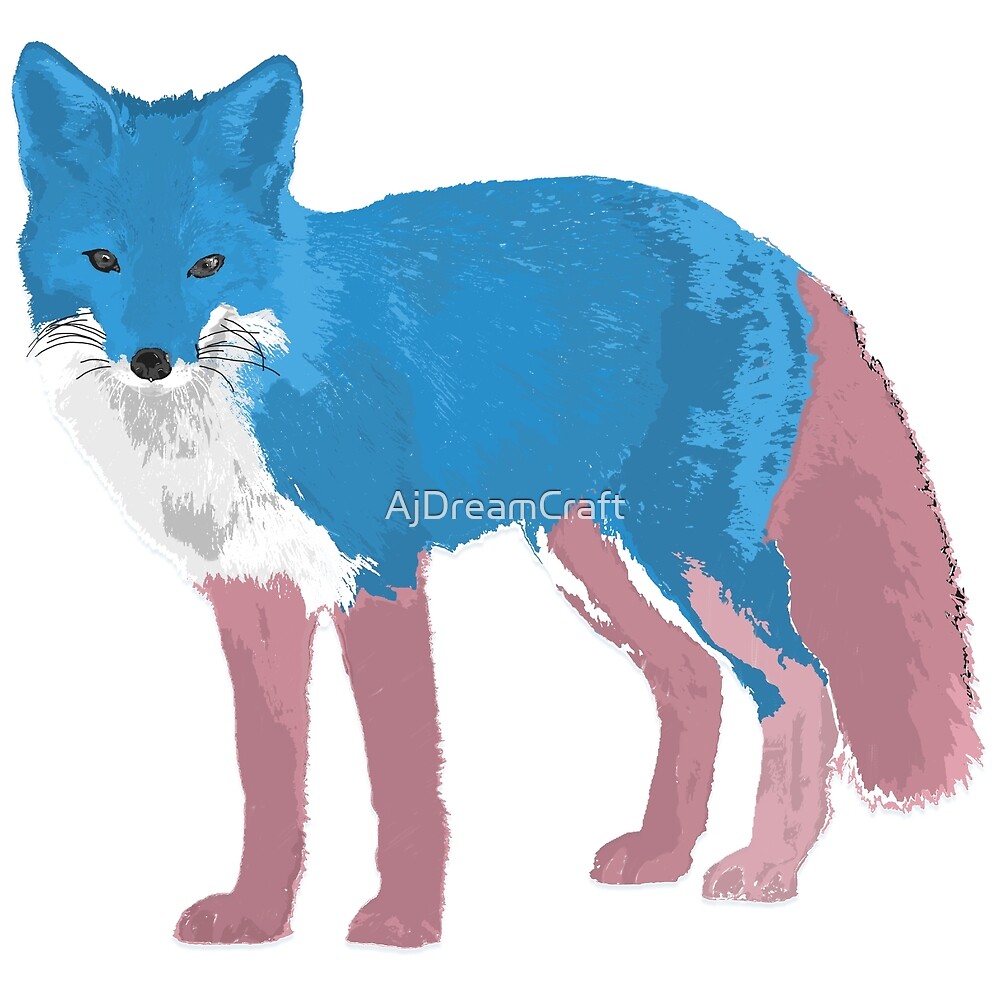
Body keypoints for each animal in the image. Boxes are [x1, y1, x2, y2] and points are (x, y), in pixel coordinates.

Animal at [12, 42, 981, 948]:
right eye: (103, 261)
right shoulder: (254, 594)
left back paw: (770, 867)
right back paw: (663, 854)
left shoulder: (379, 574)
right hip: (589, 561)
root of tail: (772, 252)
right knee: (695, 679)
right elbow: (270, 780)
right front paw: (257, 918)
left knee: (801, 684)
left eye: (207, 265)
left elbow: (402, 774)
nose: (152, 361)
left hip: (689, 550)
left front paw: (403, 924)